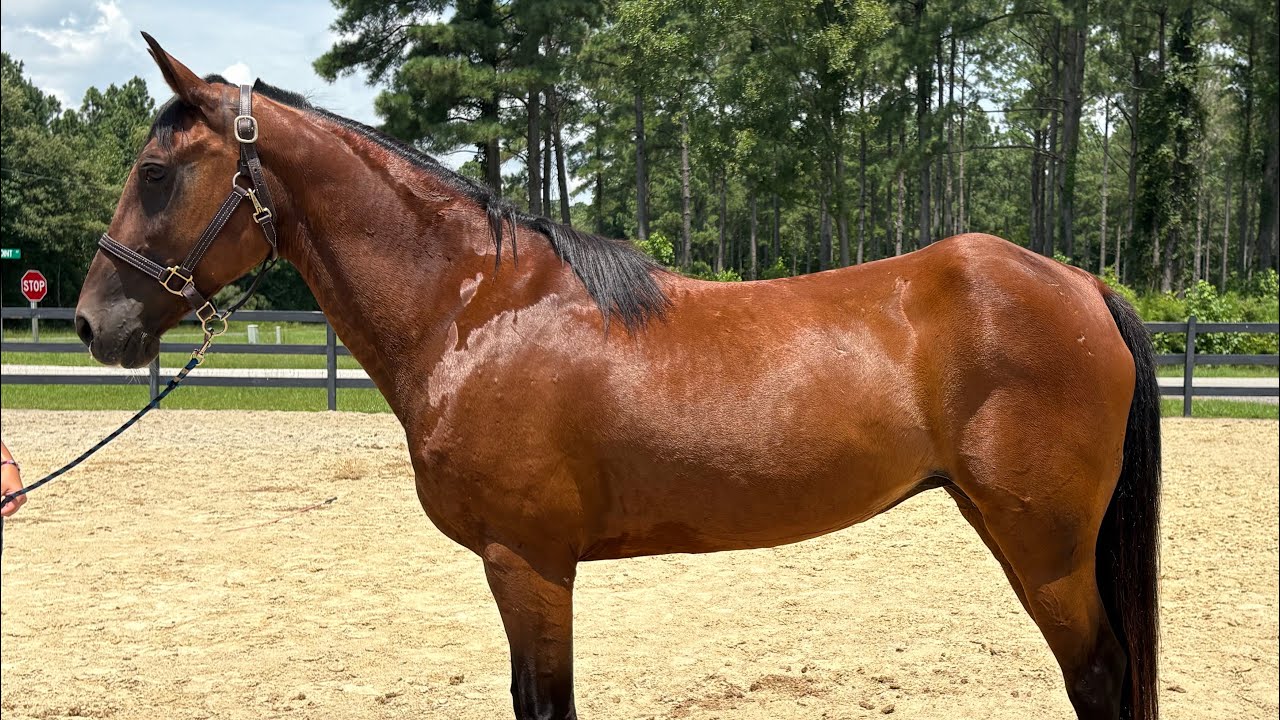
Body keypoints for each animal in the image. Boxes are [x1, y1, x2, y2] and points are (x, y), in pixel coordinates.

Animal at [74, 34, 1161, 720]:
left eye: (156, 174)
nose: (93, 322)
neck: (474, 309)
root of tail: (1080, 284)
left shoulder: (527, 562)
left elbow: (547, 704)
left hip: (1045, 550)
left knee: (1100, 680)